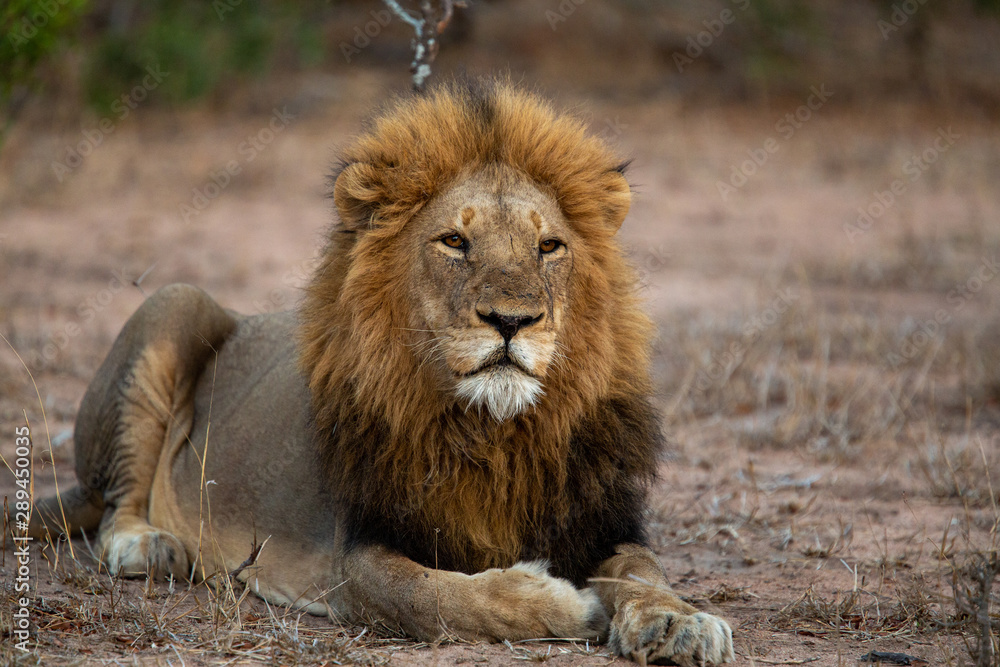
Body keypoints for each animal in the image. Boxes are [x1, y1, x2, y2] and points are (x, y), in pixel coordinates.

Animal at [27, 78, 734, 665]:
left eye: (549, 246)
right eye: (454, 241)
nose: (512, 320)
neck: (495, 433)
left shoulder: (600, 517)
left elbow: (644, 570)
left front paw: (681, 621)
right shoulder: (358, 552)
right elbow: (440, 598)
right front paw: (567, 601)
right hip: (174, 303)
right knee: (117, 503)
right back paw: (146, 545)